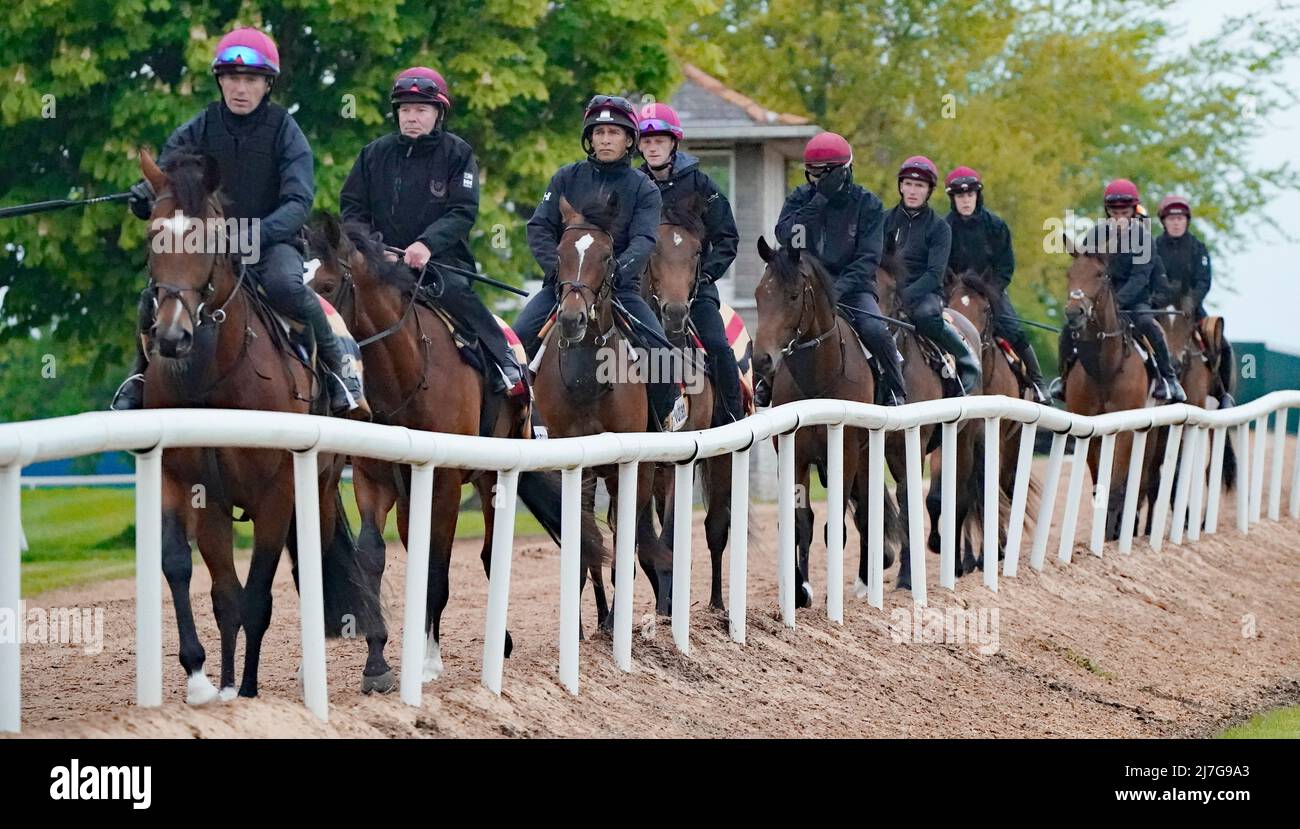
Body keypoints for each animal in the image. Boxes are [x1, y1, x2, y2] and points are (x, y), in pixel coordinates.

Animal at [137, 148, 367, 703]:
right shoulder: (188, 484)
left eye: (209, 236)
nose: (172, 336)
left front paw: (245, 691)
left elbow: (259, 594)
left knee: (311, 565)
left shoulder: (277, 491)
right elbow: (197, 577)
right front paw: (206, 681)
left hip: (319, 485)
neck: (212, 379)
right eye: (153, 233)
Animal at [306, 213, 605, 682]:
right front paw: (377, 663)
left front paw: (428, 663)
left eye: (328, 284)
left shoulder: (445, 483)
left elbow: (437, 567)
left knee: (489, 552)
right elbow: (373, 557)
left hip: (492, 477)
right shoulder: (374, 477)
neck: (406, 376)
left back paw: (499, 641)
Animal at [530, 194, 674, 619]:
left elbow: (624, 539)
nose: (572, 319)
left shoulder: (631, 466)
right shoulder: (572, 464)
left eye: (608, 255)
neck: (587, 383)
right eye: (559, 253)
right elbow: (584, 543)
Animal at [753, 238, 900, 607]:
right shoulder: (794, 453)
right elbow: (799, 521)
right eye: (759, 294)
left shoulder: (845, 452)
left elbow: (836, 525)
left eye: (793, 295)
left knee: (866, 511)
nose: (761, 359)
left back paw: (866, 580)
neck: (819, 381)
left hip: (865, 454)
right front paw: (799, 588)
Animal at [874, 259, 985, 588]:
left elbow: (913, 495)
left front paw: (907, 575)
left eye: (890, 291)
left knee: (958, 495)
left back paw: (955, 561)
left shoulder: (917, 438)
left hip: (964, 435)